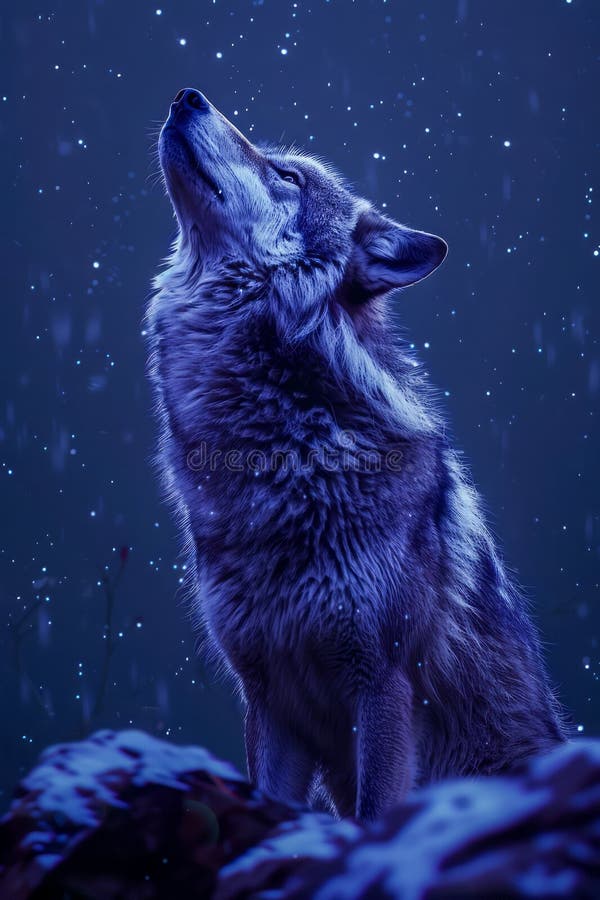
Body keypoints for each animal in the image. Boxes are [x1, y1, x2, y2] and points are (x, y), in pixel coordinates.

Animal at [147, 87, 567, 822]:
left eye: (288, 175)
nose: (186, 96)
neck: (287, 448)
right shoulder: (270, 699)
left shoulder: (383, 685)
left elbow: (377, 814)